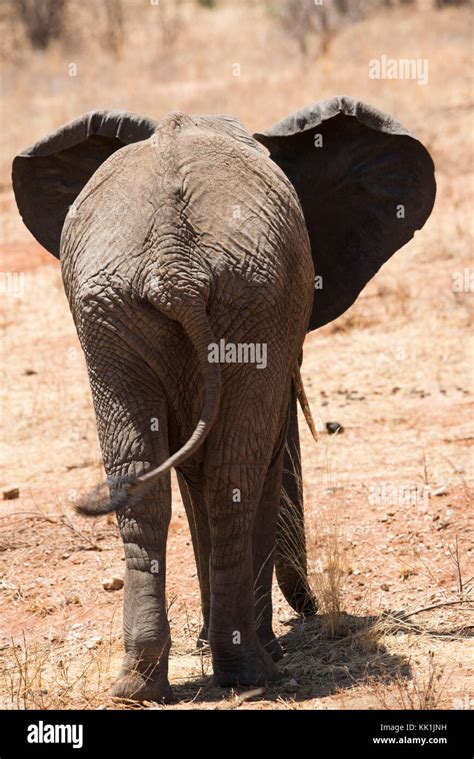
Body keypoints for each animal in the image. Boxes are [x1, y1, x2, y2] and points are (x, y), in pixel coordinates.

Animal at [12, 96, 435, 702]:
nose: (310, 610)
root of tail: (176, 267)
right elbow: (257, 455)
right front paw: (261, 649)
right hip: (228, 299)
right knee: (235, 473)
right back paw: (253, 672)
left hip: (126, 308)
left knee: (146, 481)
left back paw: (140, 685)